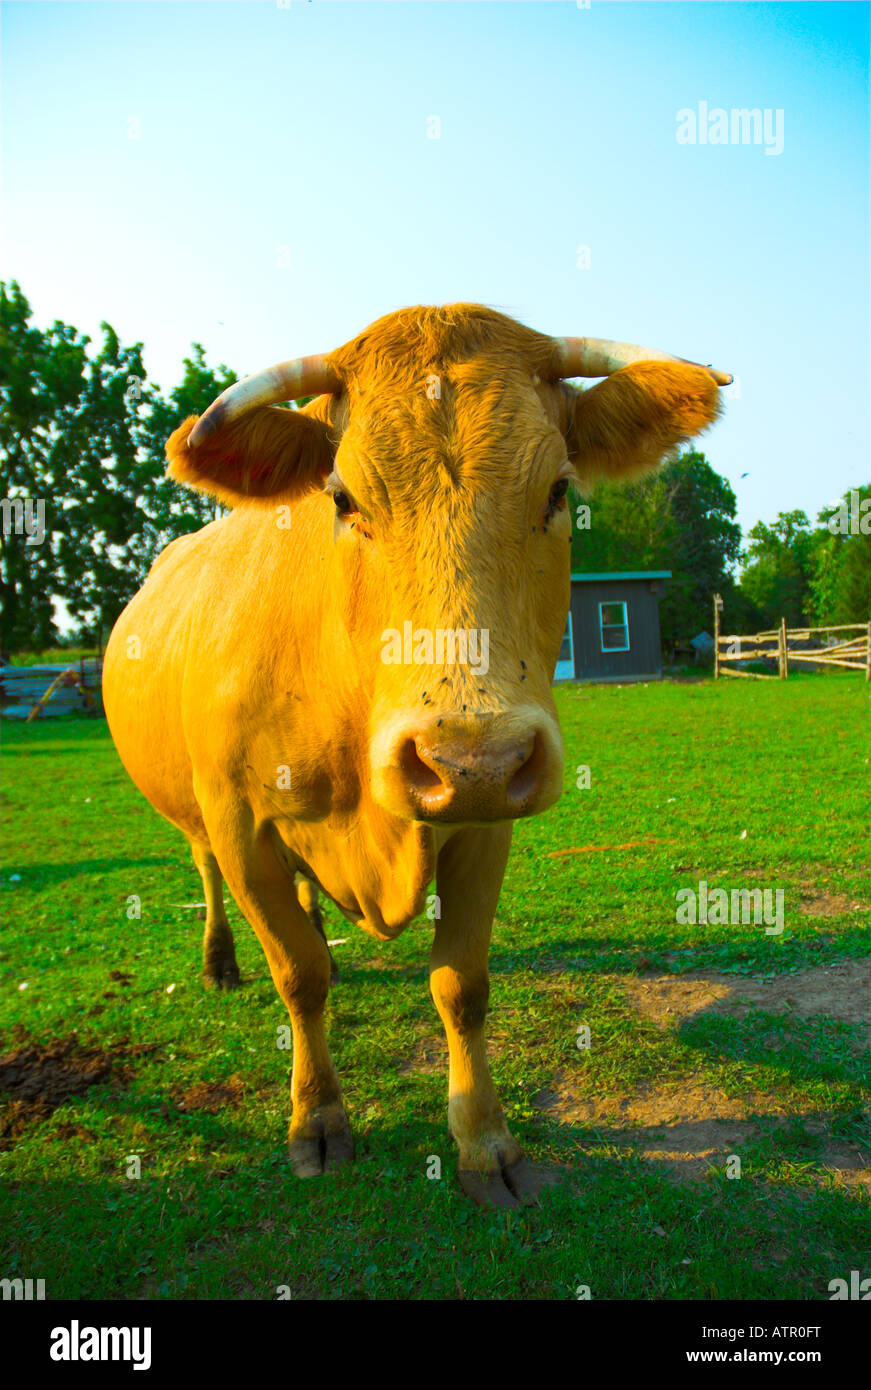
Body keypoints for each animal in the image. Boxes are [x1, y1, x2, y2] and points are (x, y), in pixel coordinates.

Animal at [103, 303, 729, 1208]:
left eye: (557, 490)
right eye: (341, 498)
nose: (467, 757)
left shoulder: (486, 820)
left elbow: (459, 984)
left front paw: (483, 1141)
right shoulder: (237, 818)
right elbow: (296, 975)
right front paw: (317, 1119)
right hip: (197, 817)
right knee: (207, 874)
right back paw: (221, 960)